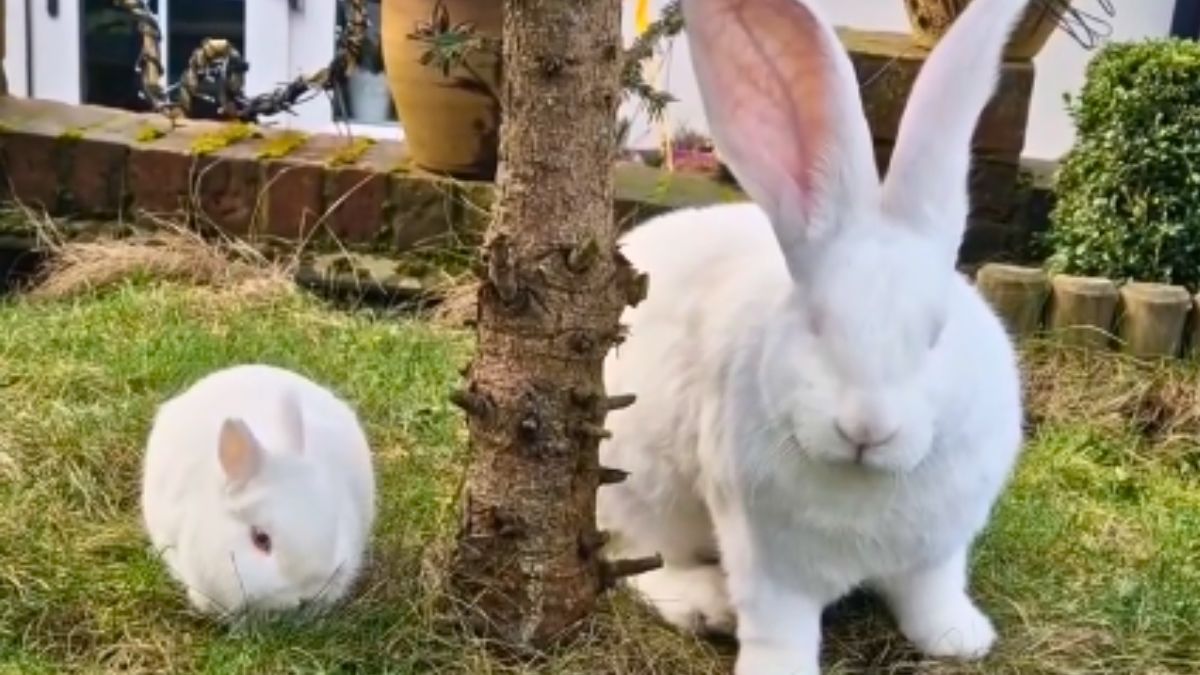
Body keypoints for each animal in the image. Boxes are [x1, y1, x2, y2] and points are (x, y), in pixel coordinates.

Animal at [596, 0, 1030, 672]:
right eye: (816, 324)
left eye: (935, 333)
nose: (866, 430)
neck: (869, 482)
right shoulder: (769, 564)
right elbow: (782, 627)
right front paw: (776, 667)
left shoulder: (938, 552)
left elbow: (933, 593)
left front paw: (960, 638)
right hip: (640, 485)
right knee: (634, 557)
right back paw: (703, 603)